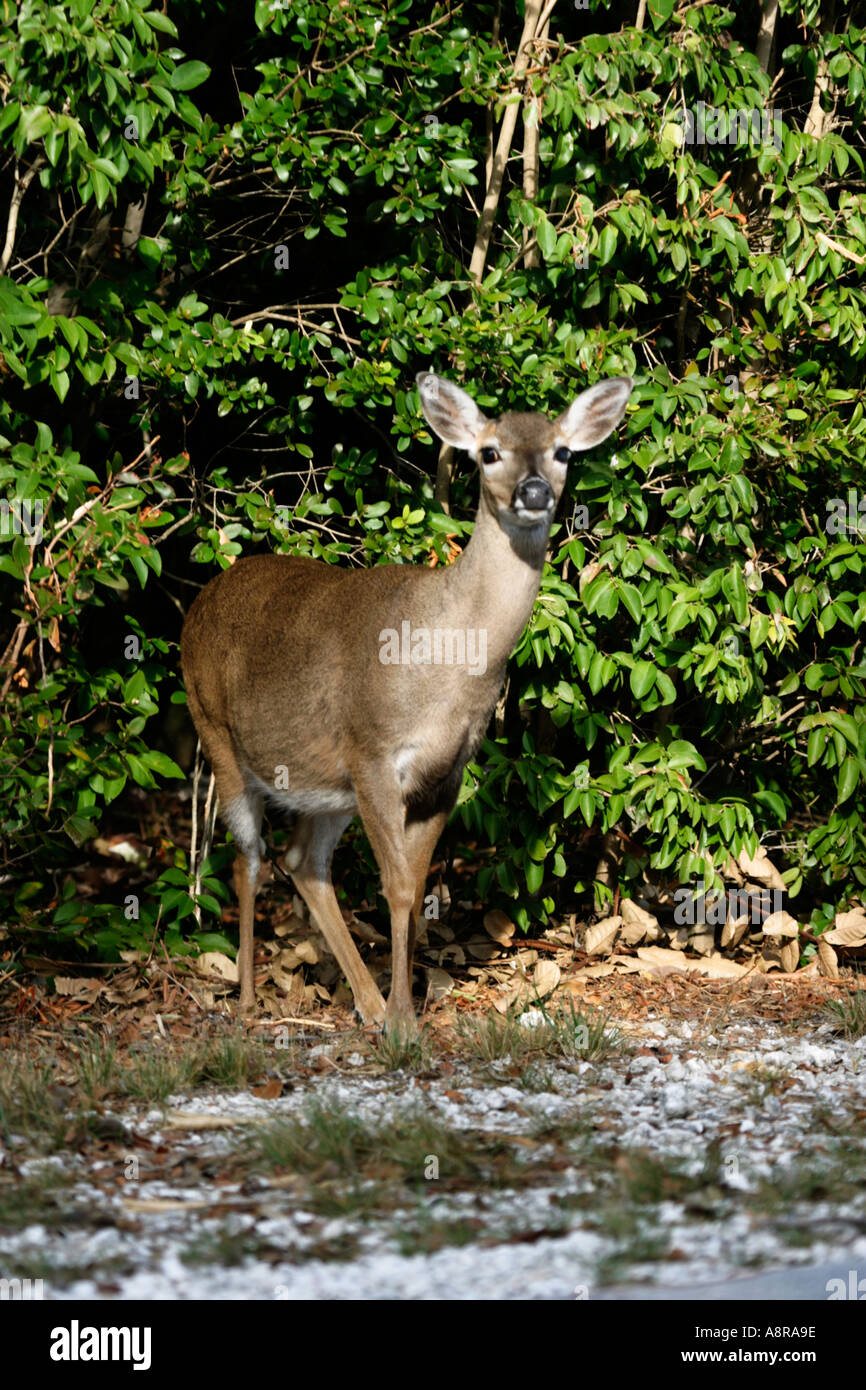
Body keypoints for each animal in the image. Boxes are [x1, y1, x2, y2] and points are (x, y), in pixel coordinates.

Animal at [180, 372, 632, 1031]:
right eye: (488, 452)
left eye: (564, 451)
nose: (534, 491)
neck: (448, 656)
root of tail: (201, 598)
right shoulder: (373, 748)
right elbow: (393, 887)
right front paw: (403, 1026)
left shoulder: (446, 771)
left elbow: (416, 889)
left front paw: (403, 1008)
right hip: (216, 732)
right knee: (250, 859)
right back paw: (245, 1000)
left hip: (326, 783)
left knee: (303, 861)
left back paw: (364, 1002)